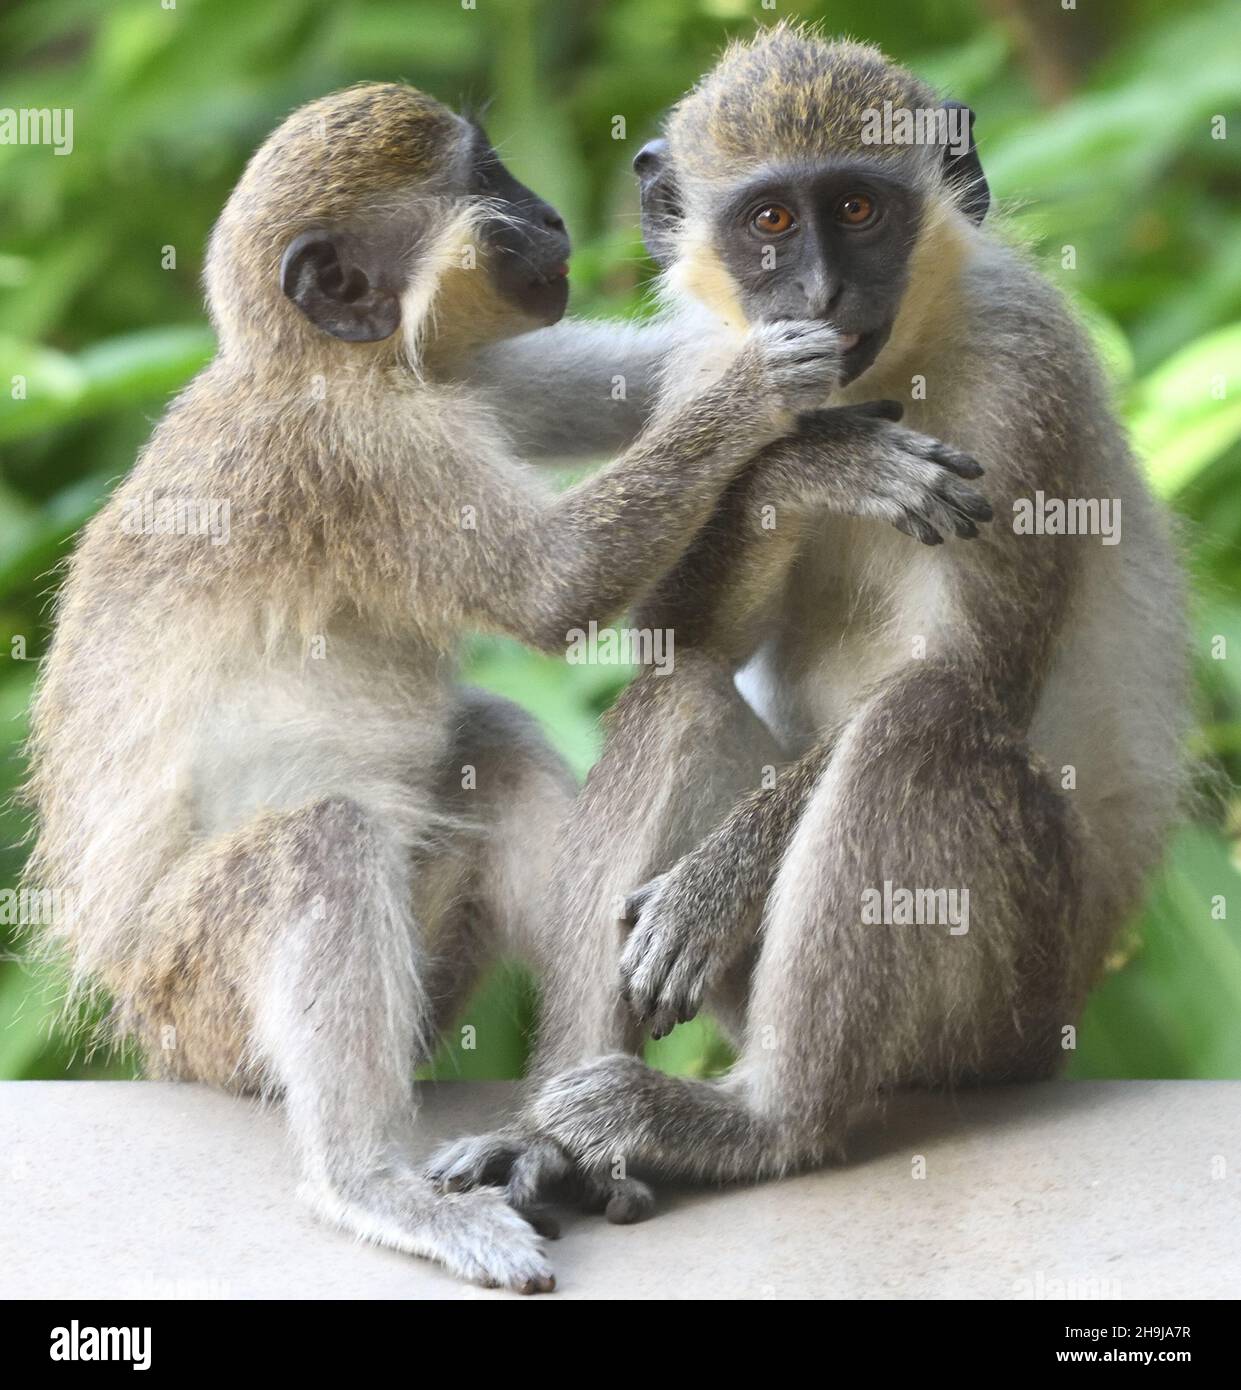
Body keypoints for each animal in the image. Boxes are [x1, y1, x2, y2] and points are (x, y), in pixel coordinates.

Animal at [20, 80, 896, 1292]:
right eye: (484, 180)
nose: (555, 215)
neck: (326, 360)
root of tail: (147, 1036)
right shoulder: (367, 456)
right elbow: (553, 590)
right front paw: (778, 414)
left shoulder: (442, 383)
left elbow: (631, 391)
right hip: (195, 1003)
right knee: (323, 843)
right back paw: (370, 1181)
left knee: (495, 750)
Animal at [426, 26, 1189, 1209]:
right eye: (770, 223)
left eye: (860, 208)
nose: (824, 293)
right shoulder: (702, 363)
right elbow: (681, 636)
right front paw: (816, 459)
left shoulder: (1030, 365)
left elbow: (978, 669)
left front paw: (711, 890)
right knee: (680, 695)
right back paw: (550, 1141)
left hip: (1006, 998)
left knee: (921, 721)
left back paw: (765, 1122)